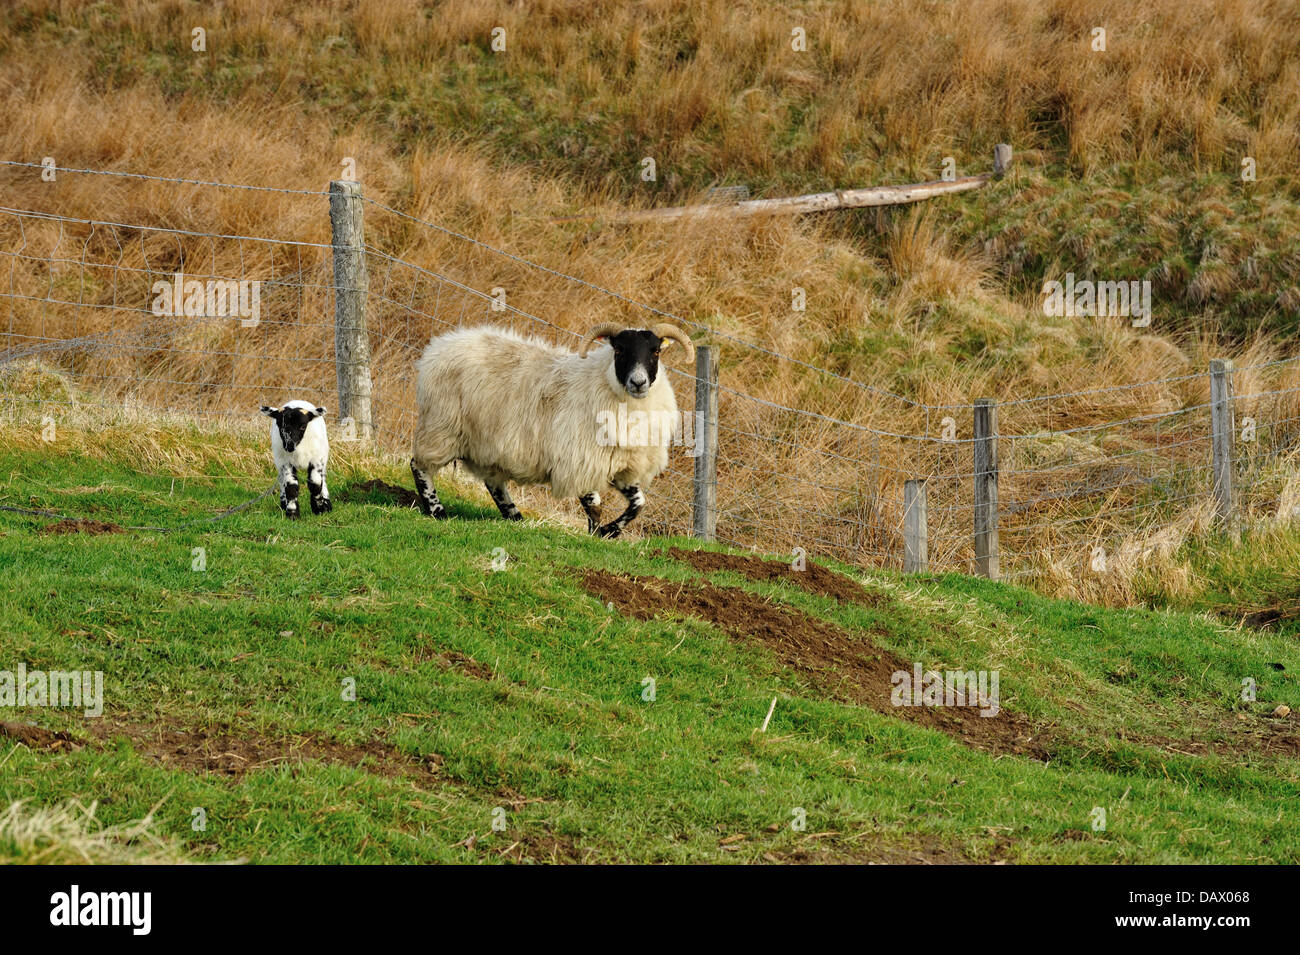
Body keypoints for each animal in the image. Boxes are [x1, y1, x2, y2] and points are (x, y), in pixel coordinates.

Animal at [410, 321, 694, 537]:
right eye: (619, 351)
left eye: (655, 352)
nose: (638, 382)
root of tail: (440, 346)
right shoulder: (579, 458)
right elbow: (594, 504)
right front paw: (595, 533)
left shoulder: (623, 465)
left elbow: (638, 504)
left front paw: (609, 531)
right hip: (441, 427)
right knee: (419, 465)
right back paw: (437, 511)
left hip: (488, 442)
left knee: (494, 484)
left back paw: (516, 518)